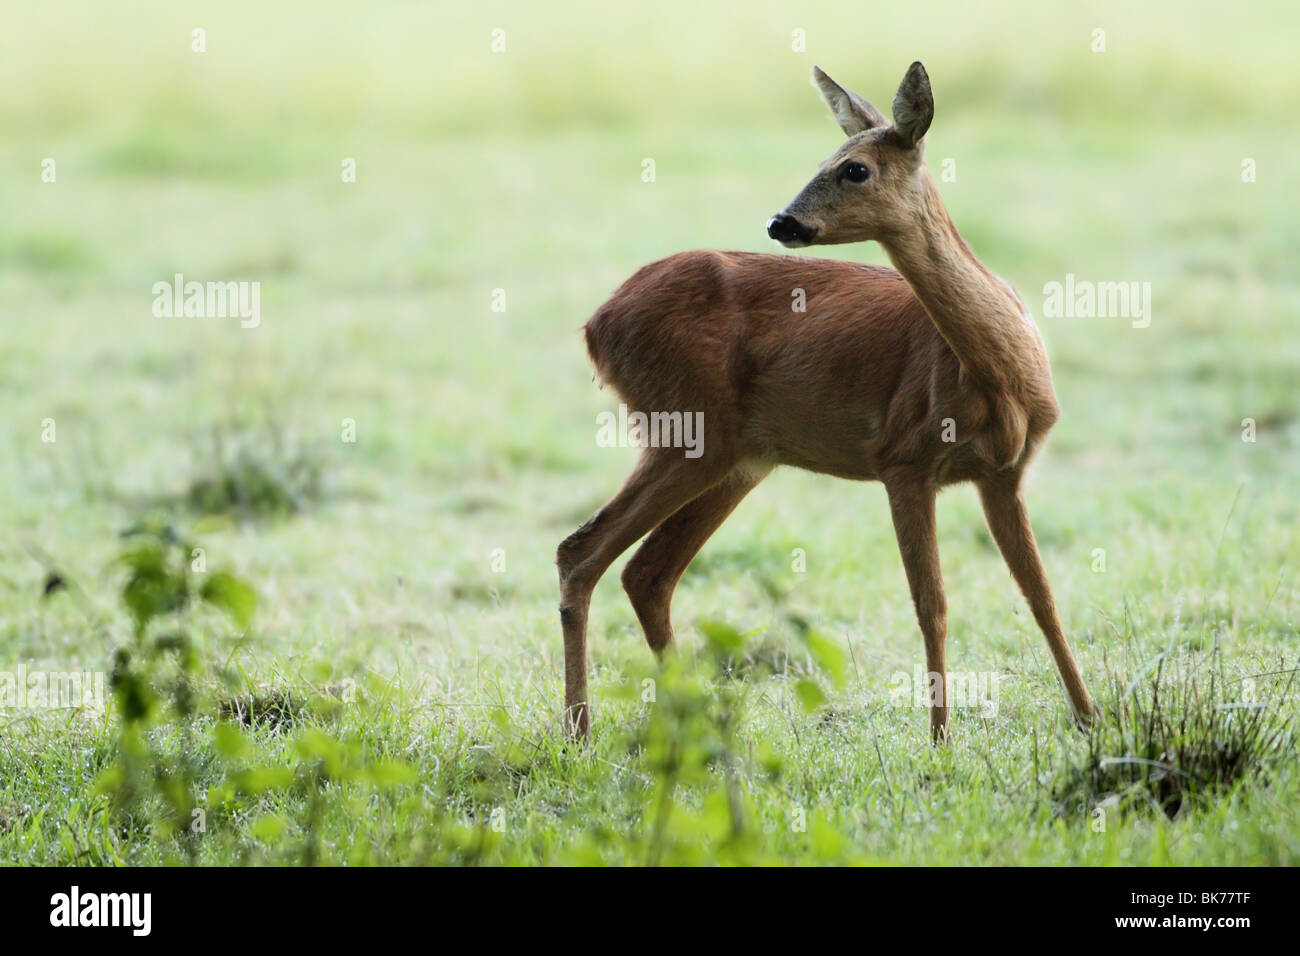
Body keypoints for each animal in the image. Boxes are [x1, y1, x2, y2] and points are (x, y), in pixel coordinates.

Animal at [557, 61, 1094, 742]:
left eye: (854, 168)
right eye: (825, 159)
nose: (780, 222)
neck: (1001, 375)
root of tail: (596, 325)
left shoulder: (1004, 472)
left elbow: (1042, 595)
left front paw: (1092, 718)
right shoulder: (903, 459)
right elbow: (933, 603)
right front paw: (941, 740)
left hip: (738, 458)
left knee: (647, 571)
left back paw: (689, 725)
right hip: (687, 428)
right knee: (582, 552)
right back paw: (579, 731)